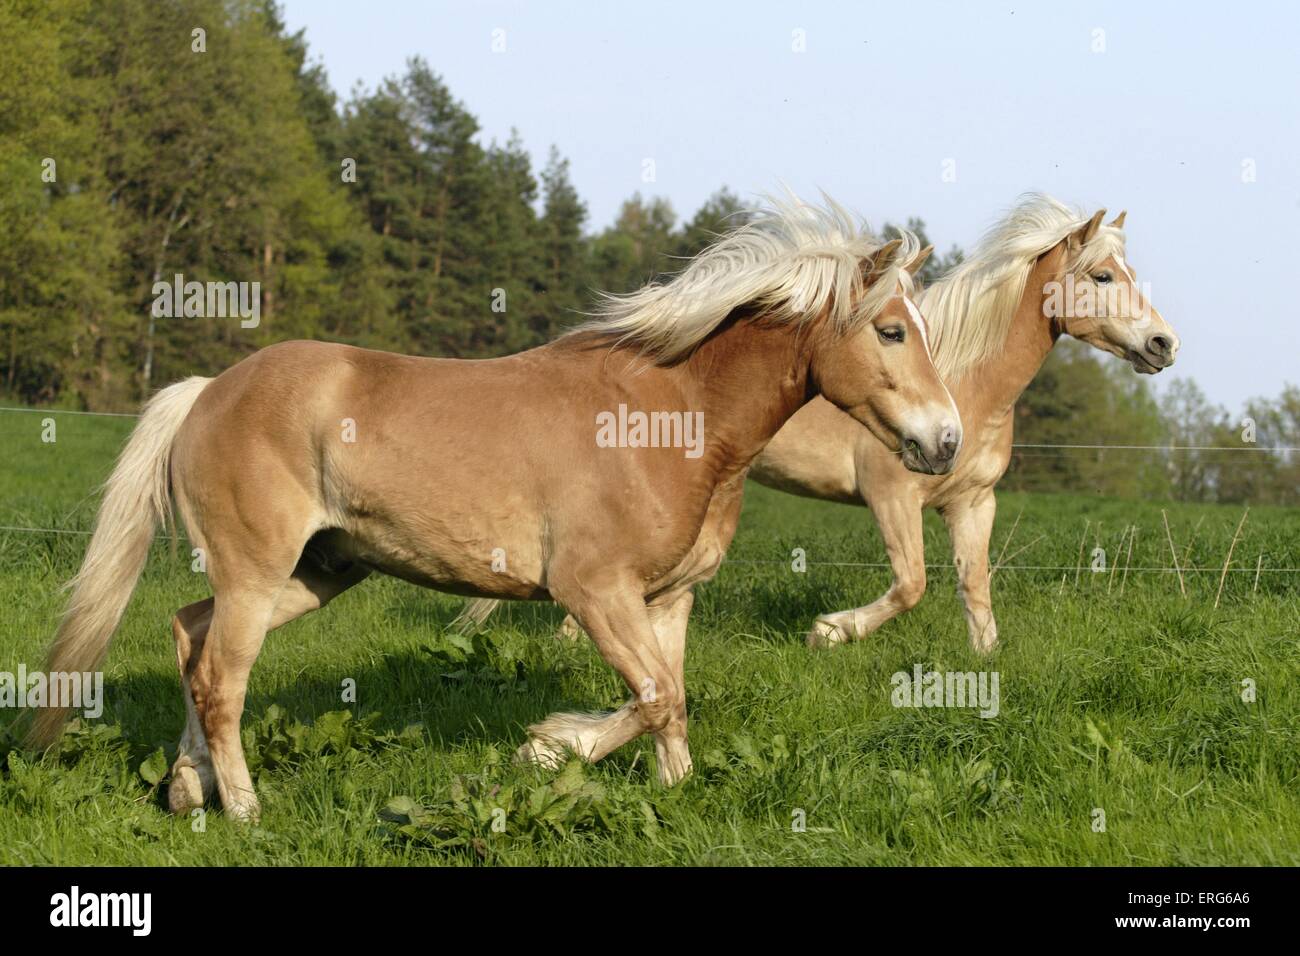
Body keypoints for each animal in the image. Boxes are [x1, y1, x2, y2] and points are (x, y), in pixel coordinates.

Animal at [27, 195, 961, 820]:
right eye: (890, 330)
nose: (945, 441)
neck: (669, 419)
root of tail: (205, 393)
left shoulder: (669, 598)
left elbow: (673, 700)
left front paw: (672, 791)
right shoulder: (594, 592)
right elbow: (653, 696)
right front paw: (547, 746)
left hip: (315, 573)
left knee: (188, 636)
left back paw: (189, 789)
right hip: (258, 574)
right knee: (222, 679)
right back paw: (247, 810)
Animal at [464, 196, 1180, 655]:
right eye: (1103, 275)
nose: (1163, 344)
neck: (968, 385)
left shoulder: (973, 502)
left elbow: (975, 589)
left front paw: (985, 671)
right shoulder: (893, 496)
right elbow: (913, 585)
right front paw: (829, 631)